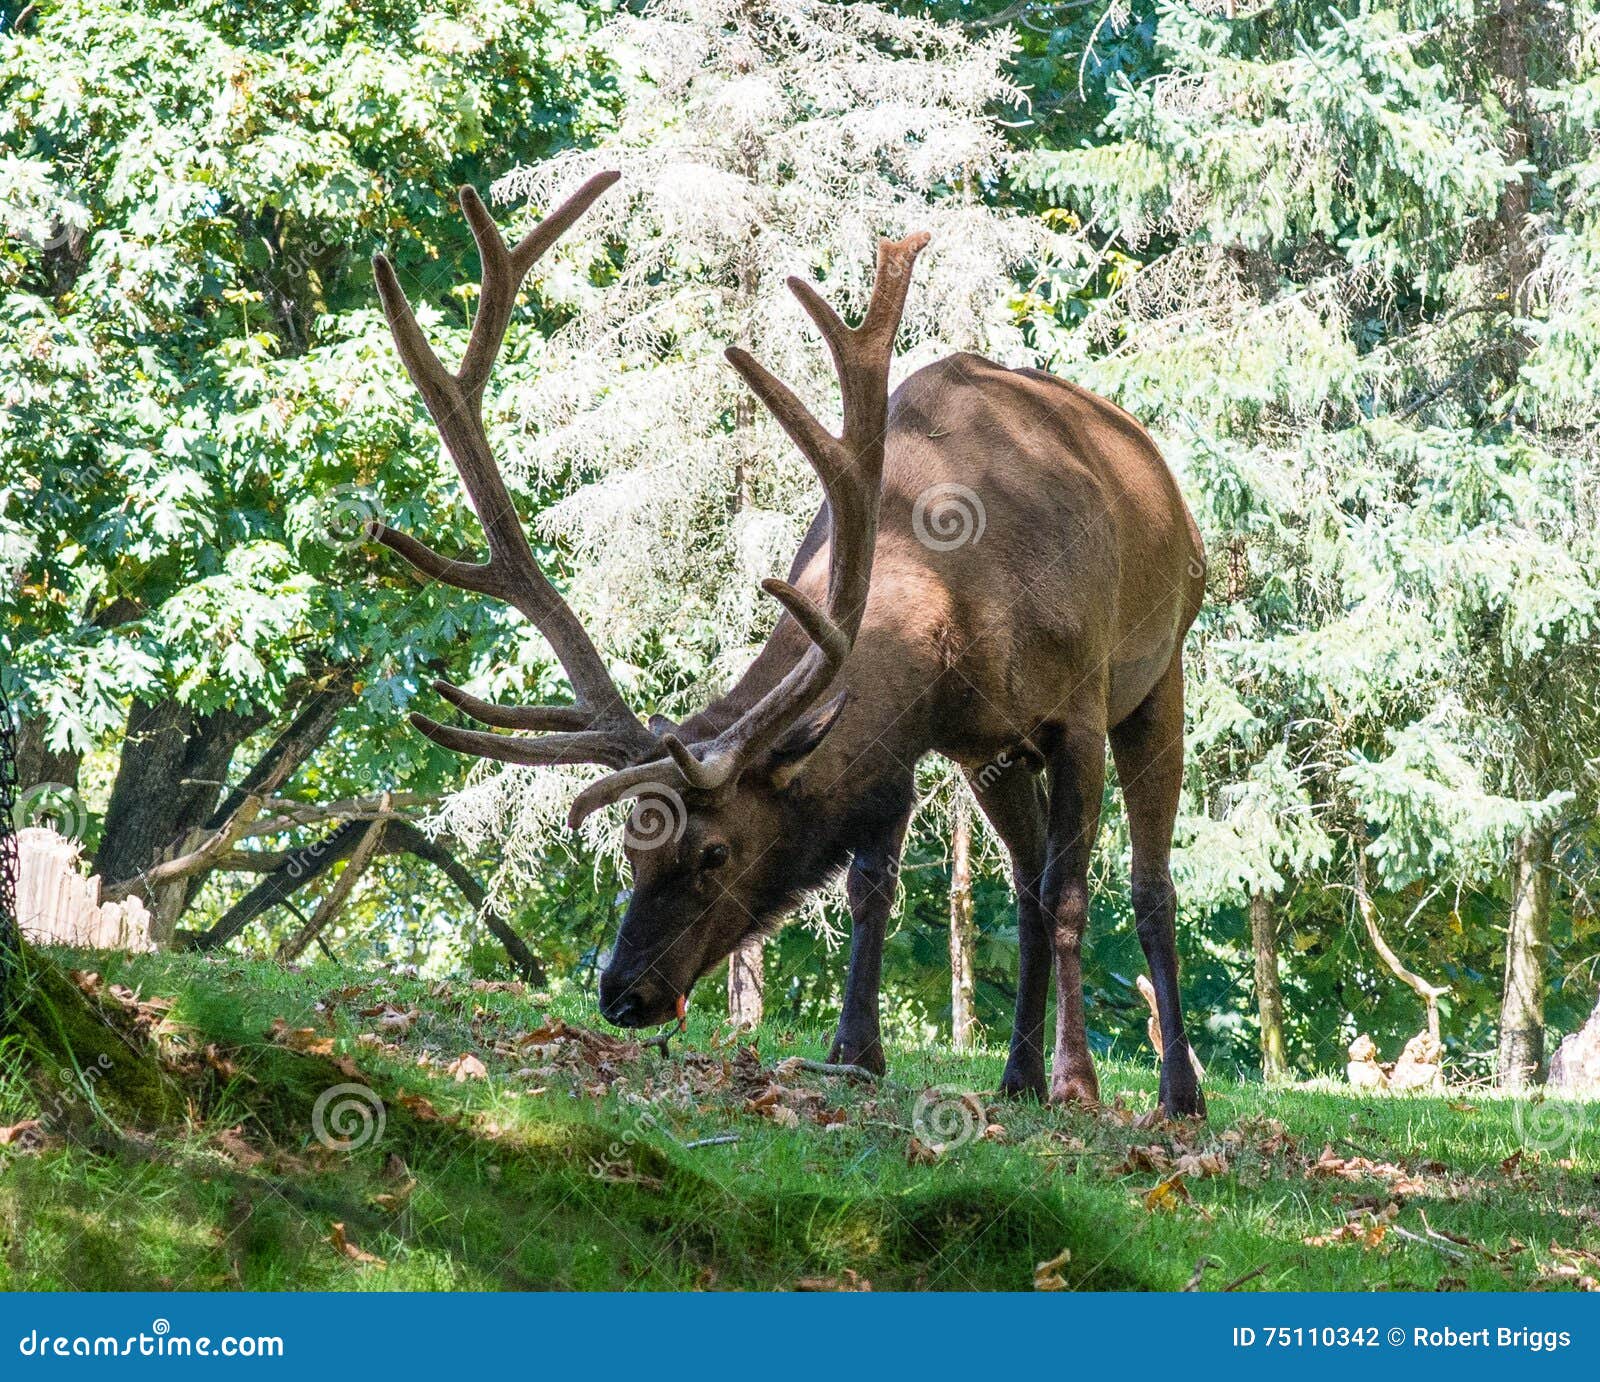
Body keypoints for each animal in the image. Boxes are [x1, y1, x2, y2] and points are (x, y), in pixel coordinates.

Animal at [367, 169, 1208, 1118]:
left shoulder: (1075, 711)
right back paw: (1017, 1076)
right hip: (992, 760)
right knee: (1025, 889)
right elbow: (873, 887)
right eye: (630, 847)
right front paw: (857, 1052)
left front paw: (1080, 1084)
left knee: (1146, 886)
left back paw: (1172, 1090)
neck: (960, 596)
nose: (624, 995)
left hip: (1160, 674)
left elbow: (1073, 896)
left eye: (713, 851)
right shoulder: (923, 734)